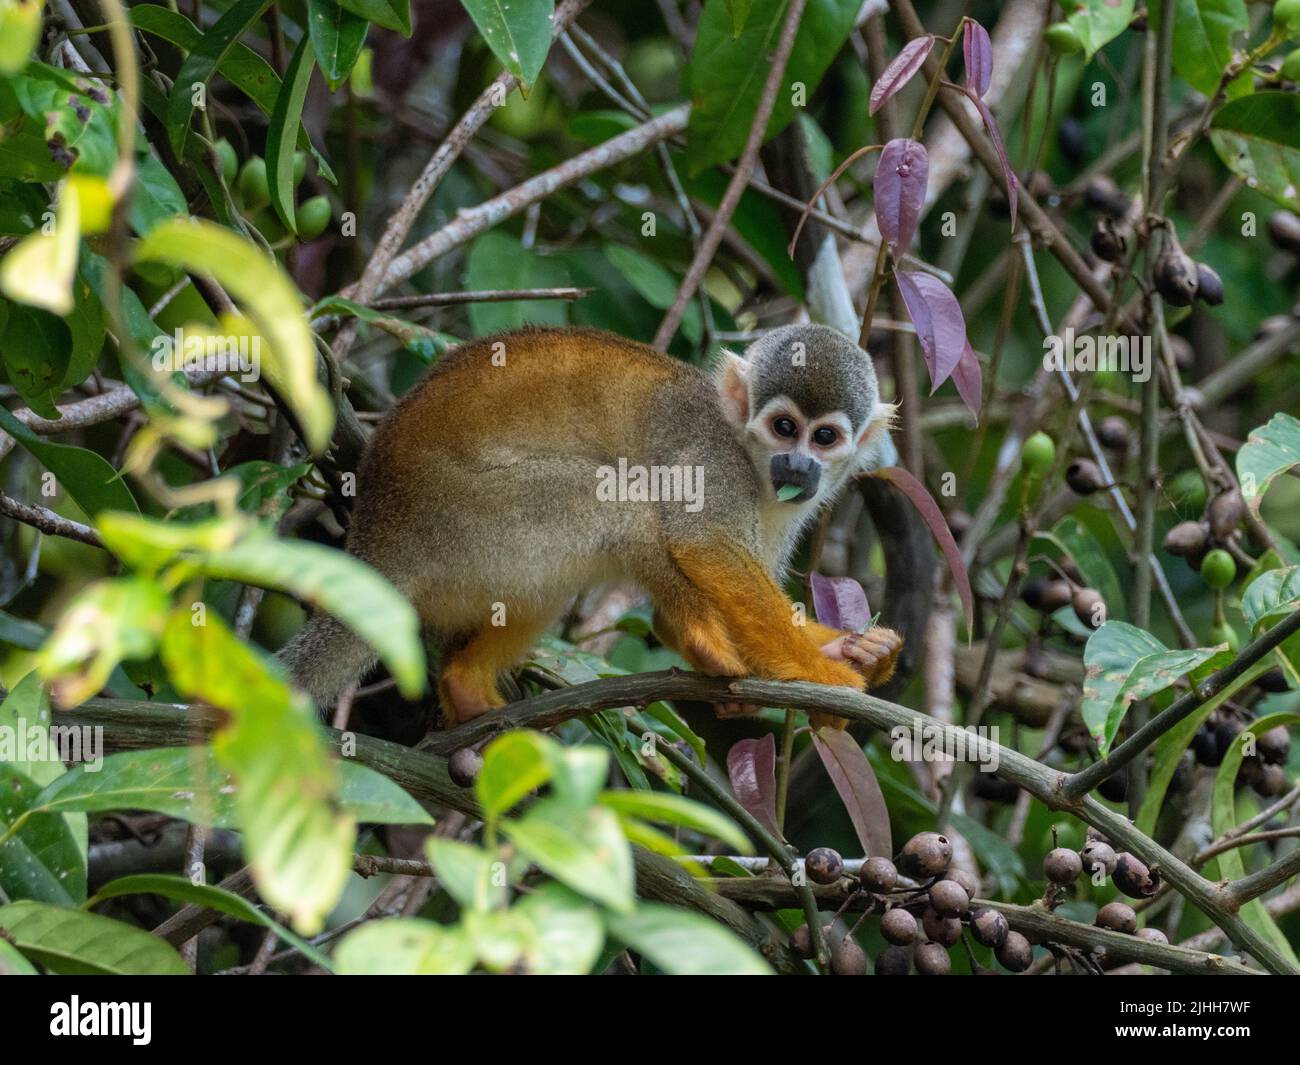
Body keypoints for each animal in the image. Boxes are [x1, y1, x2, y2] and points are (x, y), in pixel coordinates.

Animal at [279, 323, 903, 729]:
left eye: (825, 437)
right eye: (783, 427)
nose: (797, 466)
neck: (748, 454)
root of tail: (379, 539)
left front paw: (853, 647)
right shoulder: (709, 455)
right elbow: (707, 546)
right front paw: (823, 675)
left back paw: (465, 685)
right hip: (463, 514)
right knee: (617, 500)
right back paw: (694, 634)